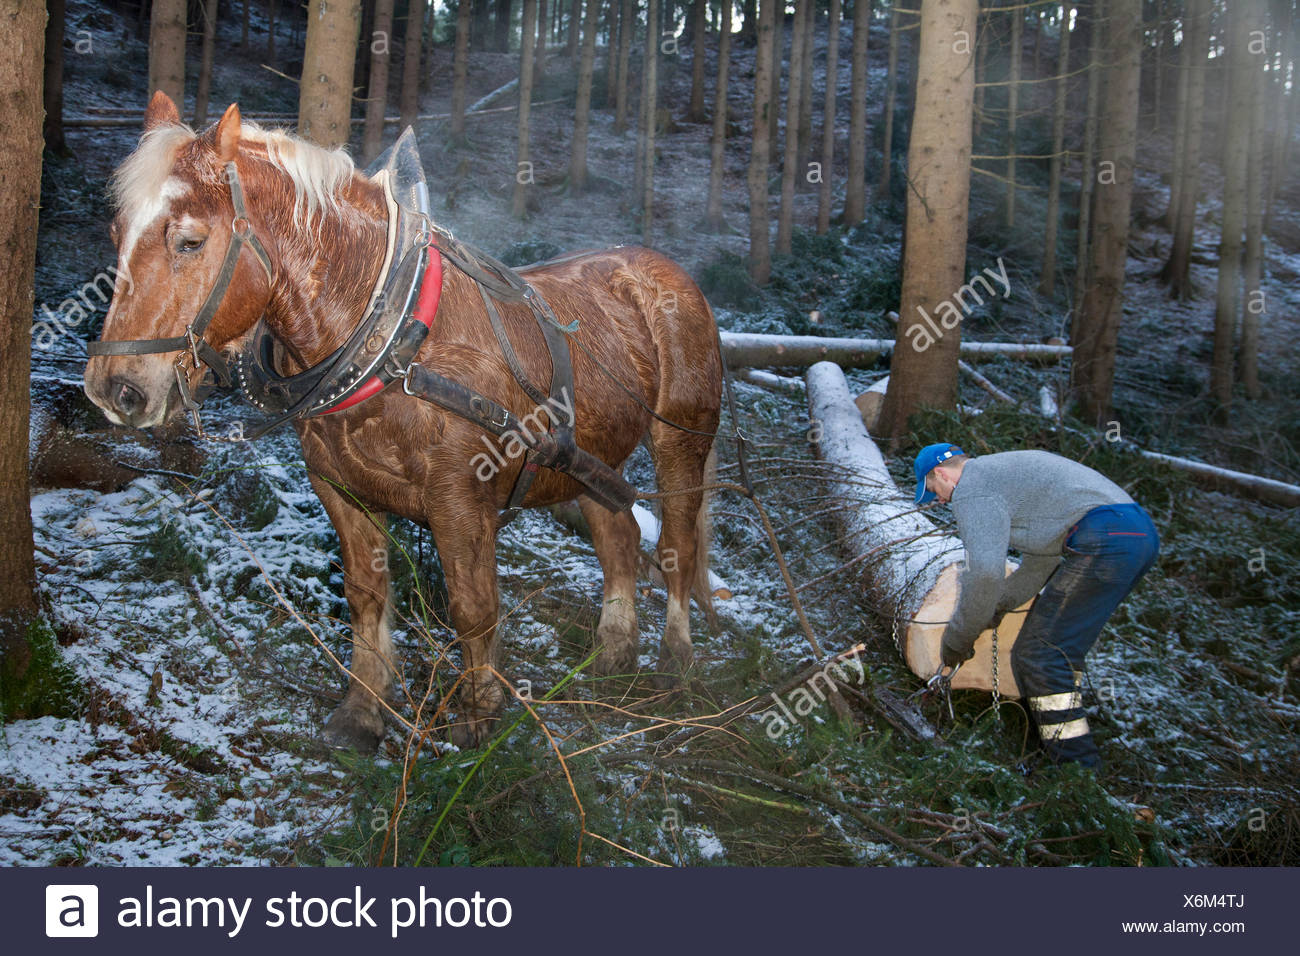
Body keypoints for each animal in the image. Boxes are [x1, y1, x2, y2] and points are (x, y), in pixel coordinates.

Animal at [84, 91, 723, 751]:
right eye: (116, 233)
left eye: (188, 241)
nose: (114, 389)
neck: (390, 336)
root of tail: (663, 270)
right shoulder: (339, 491)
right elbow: (365, 596)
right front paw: (363, 709)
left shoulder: (459, 501)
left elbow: (472, 609)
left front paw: (479, 718)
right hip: (589, 453)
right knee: (617, 534)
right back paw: (613, 654)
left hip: (680, 439)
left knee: (676, 544)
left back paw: (675, 663)